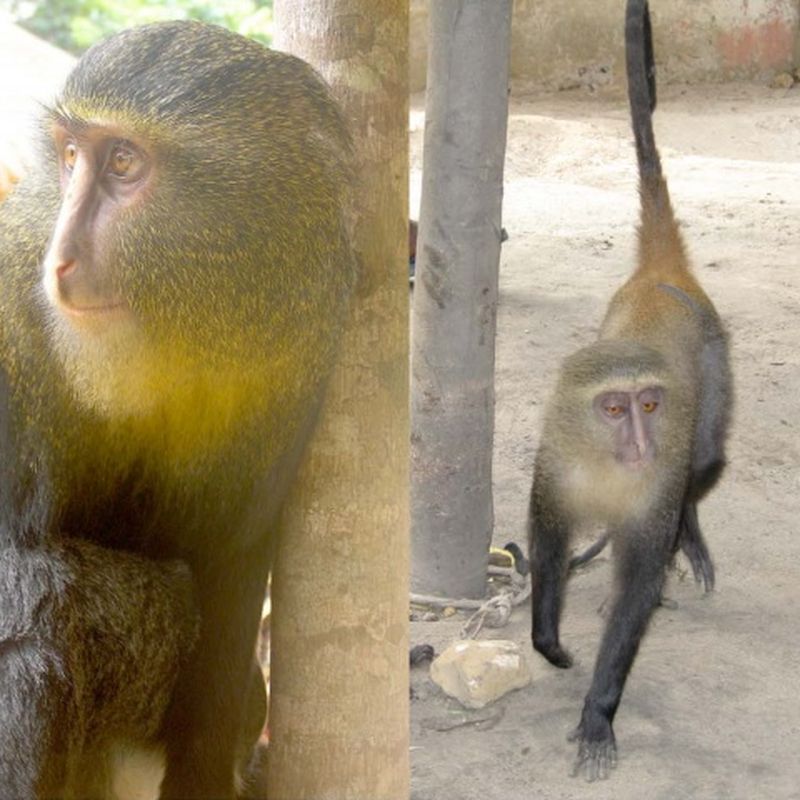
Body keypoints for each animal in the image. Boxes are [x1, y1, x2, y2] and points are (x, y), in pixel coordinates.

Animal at [527, 0, 731, 781]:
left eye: (649, 404)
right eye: (613, 409)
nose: (643, 441)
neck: (611, 468)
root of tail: (658, 277)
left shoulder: (655, 484)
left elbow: (635, 593)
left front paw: (596, 714)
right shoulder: (555, 461)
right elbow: (547, 538)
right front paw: (548, 639)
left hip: (714, 364)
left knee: (704, 464)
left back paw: (690, 535)